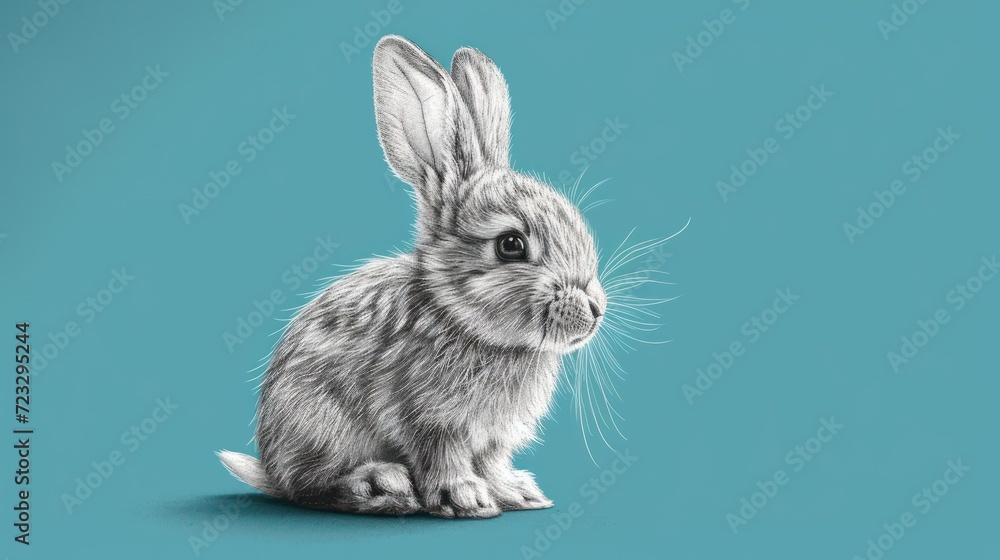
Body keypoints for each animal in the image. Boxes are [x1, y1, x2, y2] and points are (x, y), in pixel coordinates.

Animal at [217, 35, 606, 519]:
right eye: (511, 244)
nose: (595, 309)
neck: (461, 319)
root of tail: (270, 469)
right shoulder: (427, 418)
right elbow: (442, 457)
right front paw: (467, 498)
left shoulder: (492, 438)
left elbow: (492, 463)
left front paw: (517, 493)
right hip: (319, 422)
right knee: (312, 486)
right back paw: (380, 483)